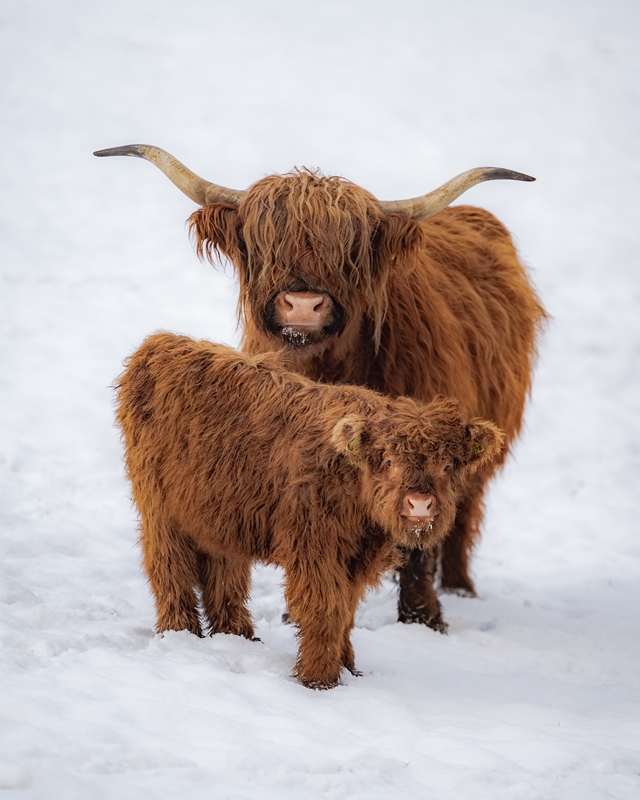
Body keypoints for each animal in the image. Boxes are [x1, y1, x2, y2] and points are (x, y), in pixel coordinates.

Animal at [96, 144, 546, 631]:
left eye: (348, 252)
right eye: (264, 242)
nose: (303, 304)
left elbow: (421, 539)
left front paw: (423, 619)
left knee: (464, 513)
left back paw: (459, 587)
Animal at [115, 332, 503, 688]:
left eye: (447, 466)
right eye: (389, 461)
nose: (419, 503)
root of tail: (163, 341)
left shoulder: (356, 560)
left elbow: (345, 611)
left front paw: (349, 668)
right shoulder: (315, 550)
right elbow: (324, 610)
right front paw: (319, 679)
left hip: (219, 517)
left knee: (224, 575)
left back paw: (238, 636)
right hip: (161, 512)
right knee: (170, 569)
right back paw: (180, 634)